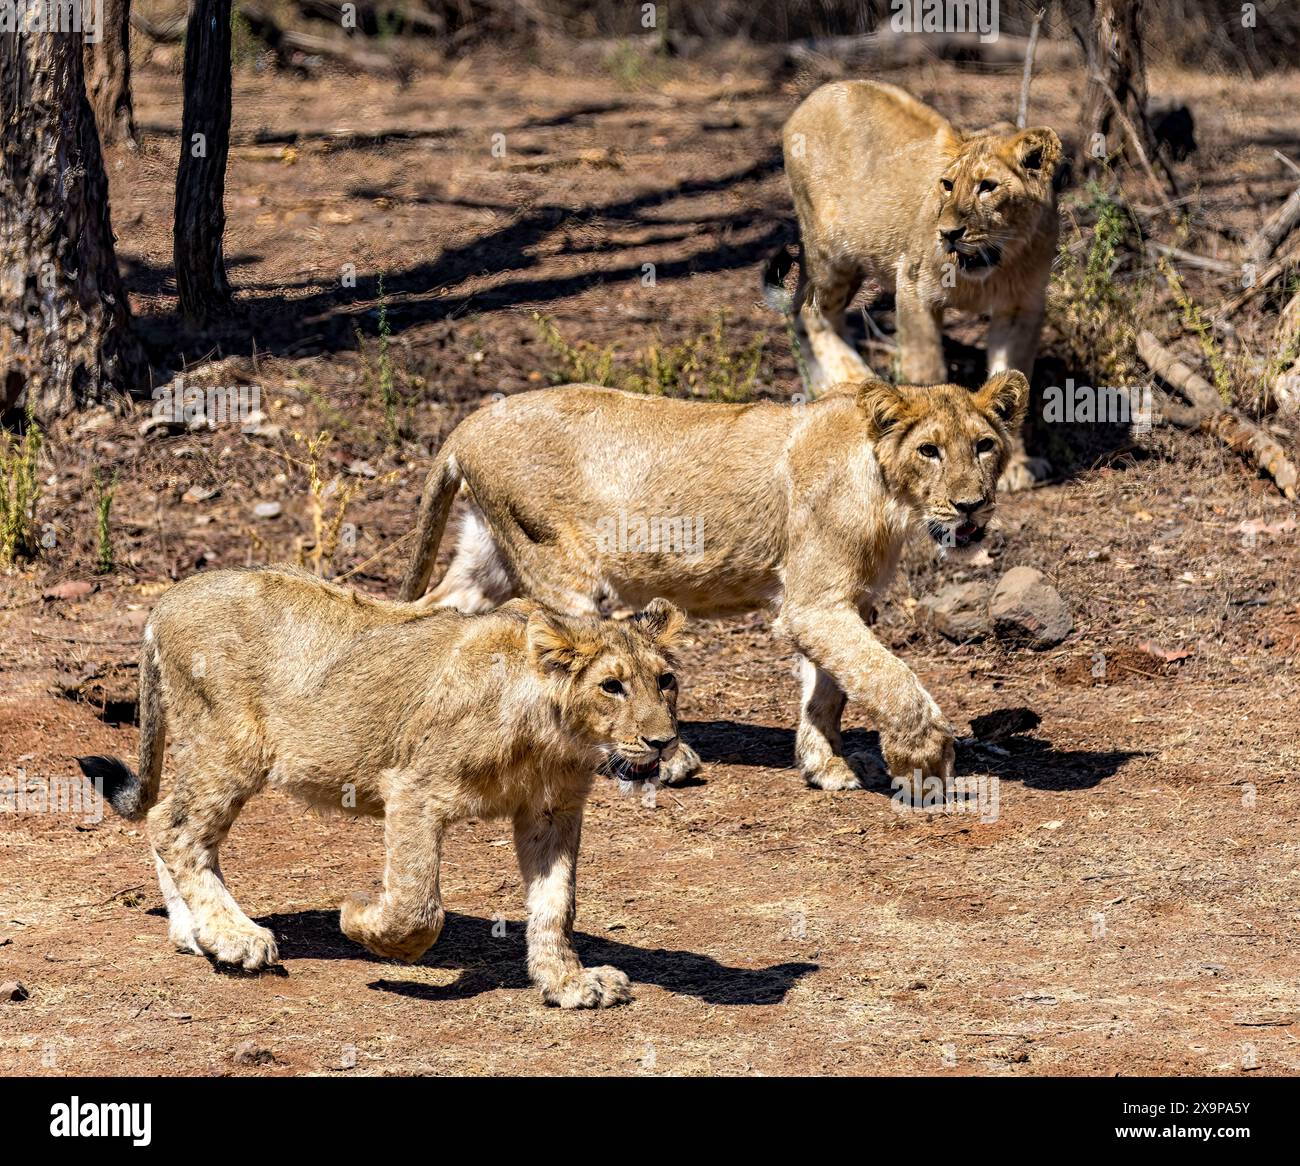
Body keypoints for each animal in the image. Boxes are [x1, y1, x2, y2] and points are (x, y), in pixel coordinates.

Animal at [78, 566, 684, 1009]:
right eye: (611, 686)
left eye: (666, 681)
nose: (664, 741)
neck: (555, 738)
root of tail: (167, 599)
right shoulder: (415, 789)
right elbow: (419, 908)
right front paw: (358, 920)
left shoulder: (552, 812)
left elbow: (556, 904)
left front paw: (570, 984)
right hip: (231, 744)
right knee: (174, 826)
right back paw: (235, 937)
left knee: (166, 821)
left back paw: (194, 932)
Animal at [398, 371, 1028, 794]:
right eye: (929, 451)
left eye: (984, 446)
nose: (972, 505)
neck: (889, 493)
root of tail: (466, 426)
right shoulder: (814, 604)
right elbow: (886, 675)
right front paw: (926, 756)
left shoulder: (842, 602)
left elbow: (828, 689)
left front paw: (824, 766)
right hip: (559, 564)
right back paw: (668, 760)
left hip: (490, 558)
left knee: (436, 611)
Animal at [765, 80, 1064, 491]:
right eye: (947, 185)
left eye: (987, 187)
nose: (949, 233)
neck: (994, 263)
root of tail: (816, 95)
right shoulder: (914, 287)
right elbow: (926, 372)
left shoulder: (1021, 308)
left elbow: (1012, 379)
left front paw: (1015, 465)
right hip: (830, 252)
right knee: (810, 310)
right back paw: (849, 379)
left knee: (805, 310)